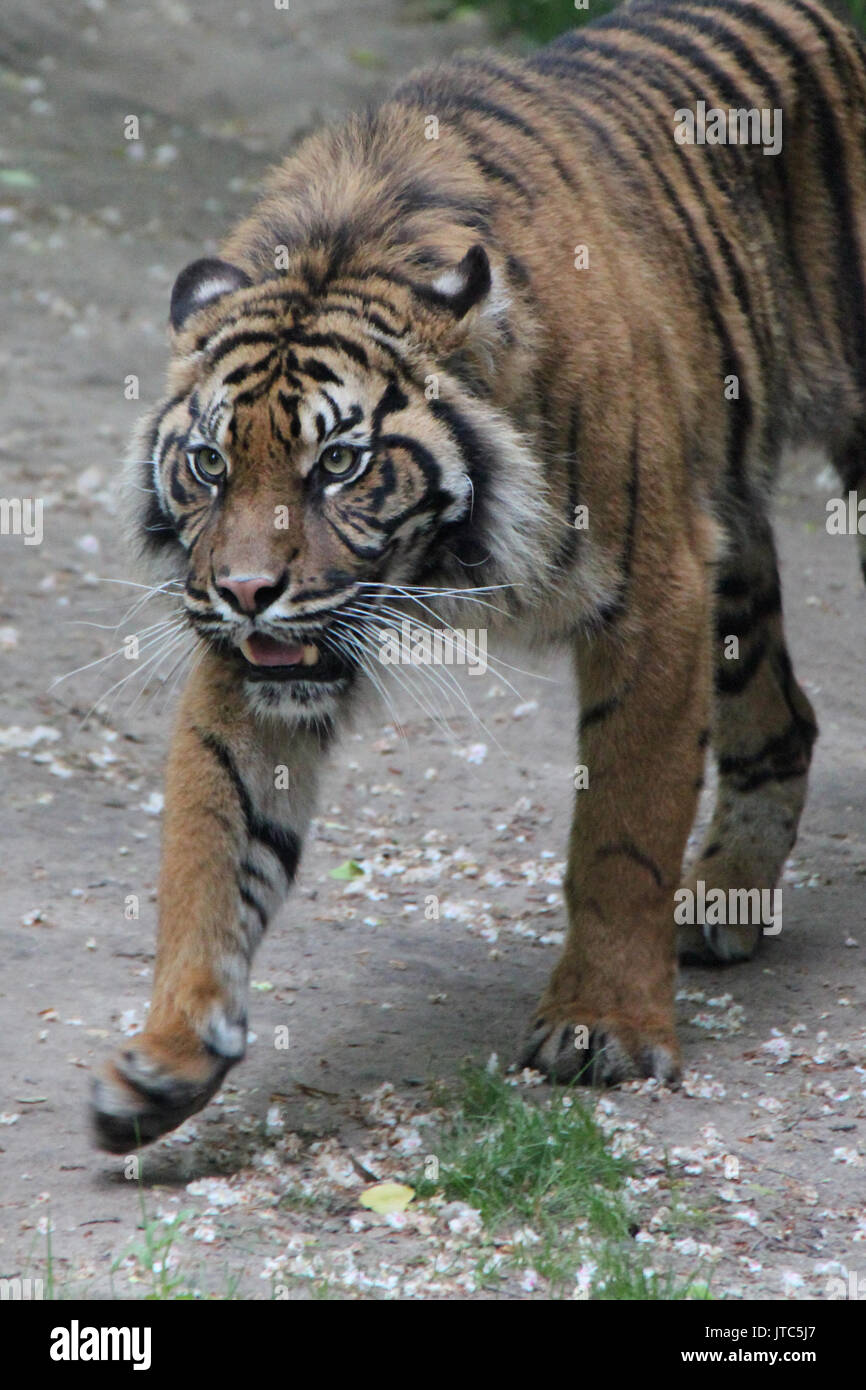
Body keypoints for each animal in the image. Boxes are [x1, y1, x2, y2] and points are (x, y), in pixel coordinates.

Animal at [91, 0, 866, 1151]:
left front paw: (602, 1027)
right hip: (730, 540)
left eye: (338, 464)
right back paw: (724, 896)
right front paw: (169, 1058)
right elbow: (210, 844)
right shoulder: (255, 662)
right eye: (210, 465)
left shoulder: (656, 599)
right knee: (783, 717)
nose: (246, 591)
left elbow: (621, 833)